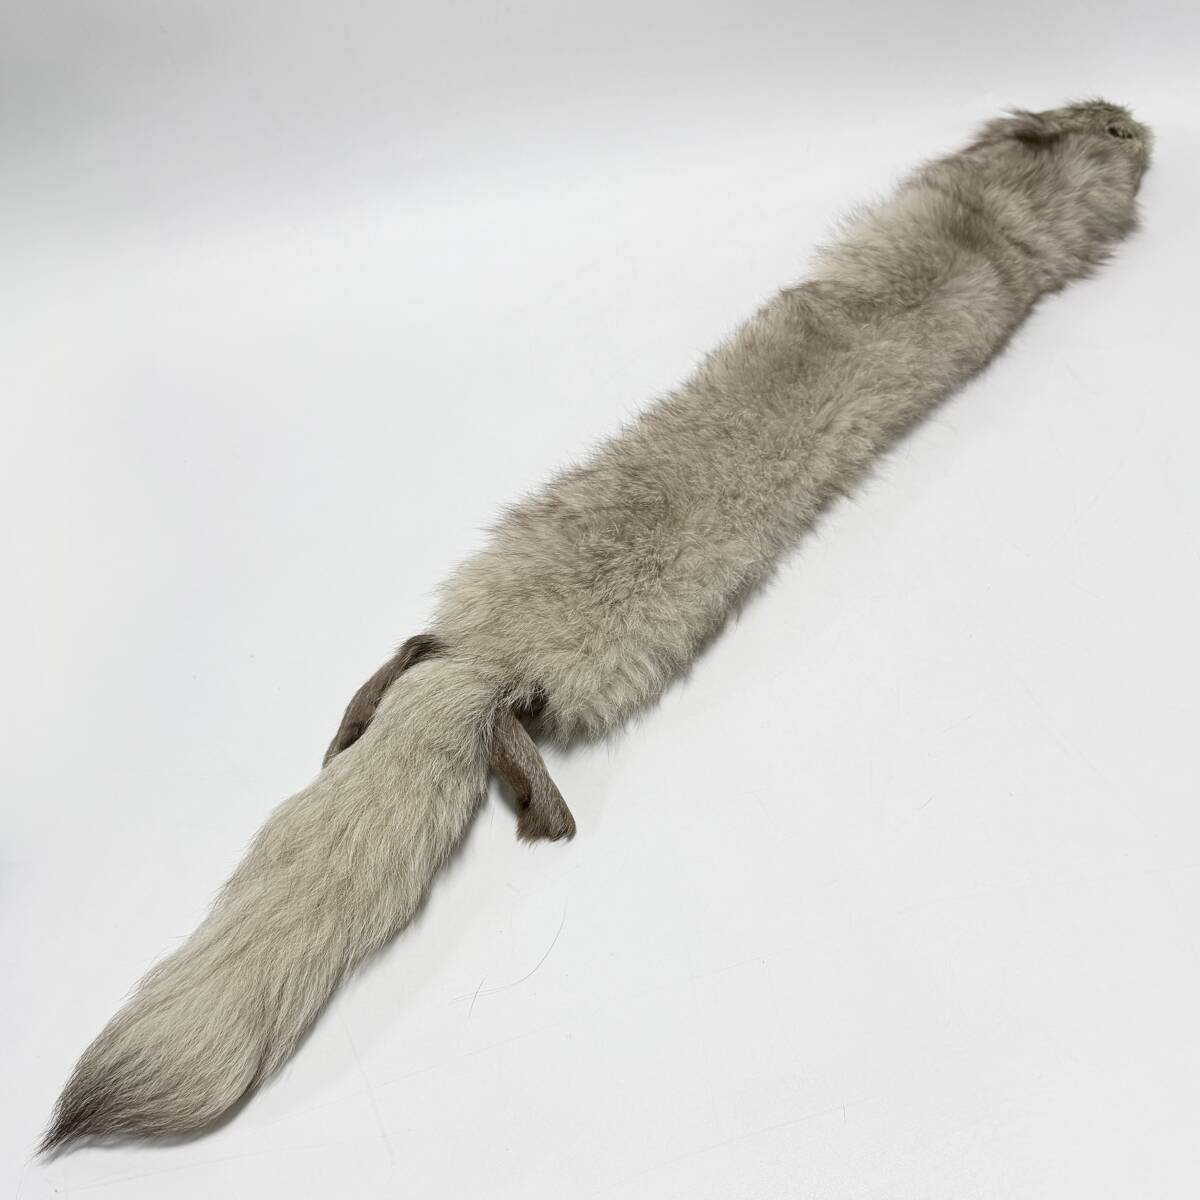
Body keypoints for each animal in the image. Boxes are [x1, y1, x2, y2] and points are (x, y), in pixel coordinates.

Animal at [44, 100, 1152, 1151]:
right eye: (1112, 123)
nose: (1141, 121)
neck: (992, 212)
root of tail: (482, 666)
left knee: (408, 663)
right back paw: (542, 807)